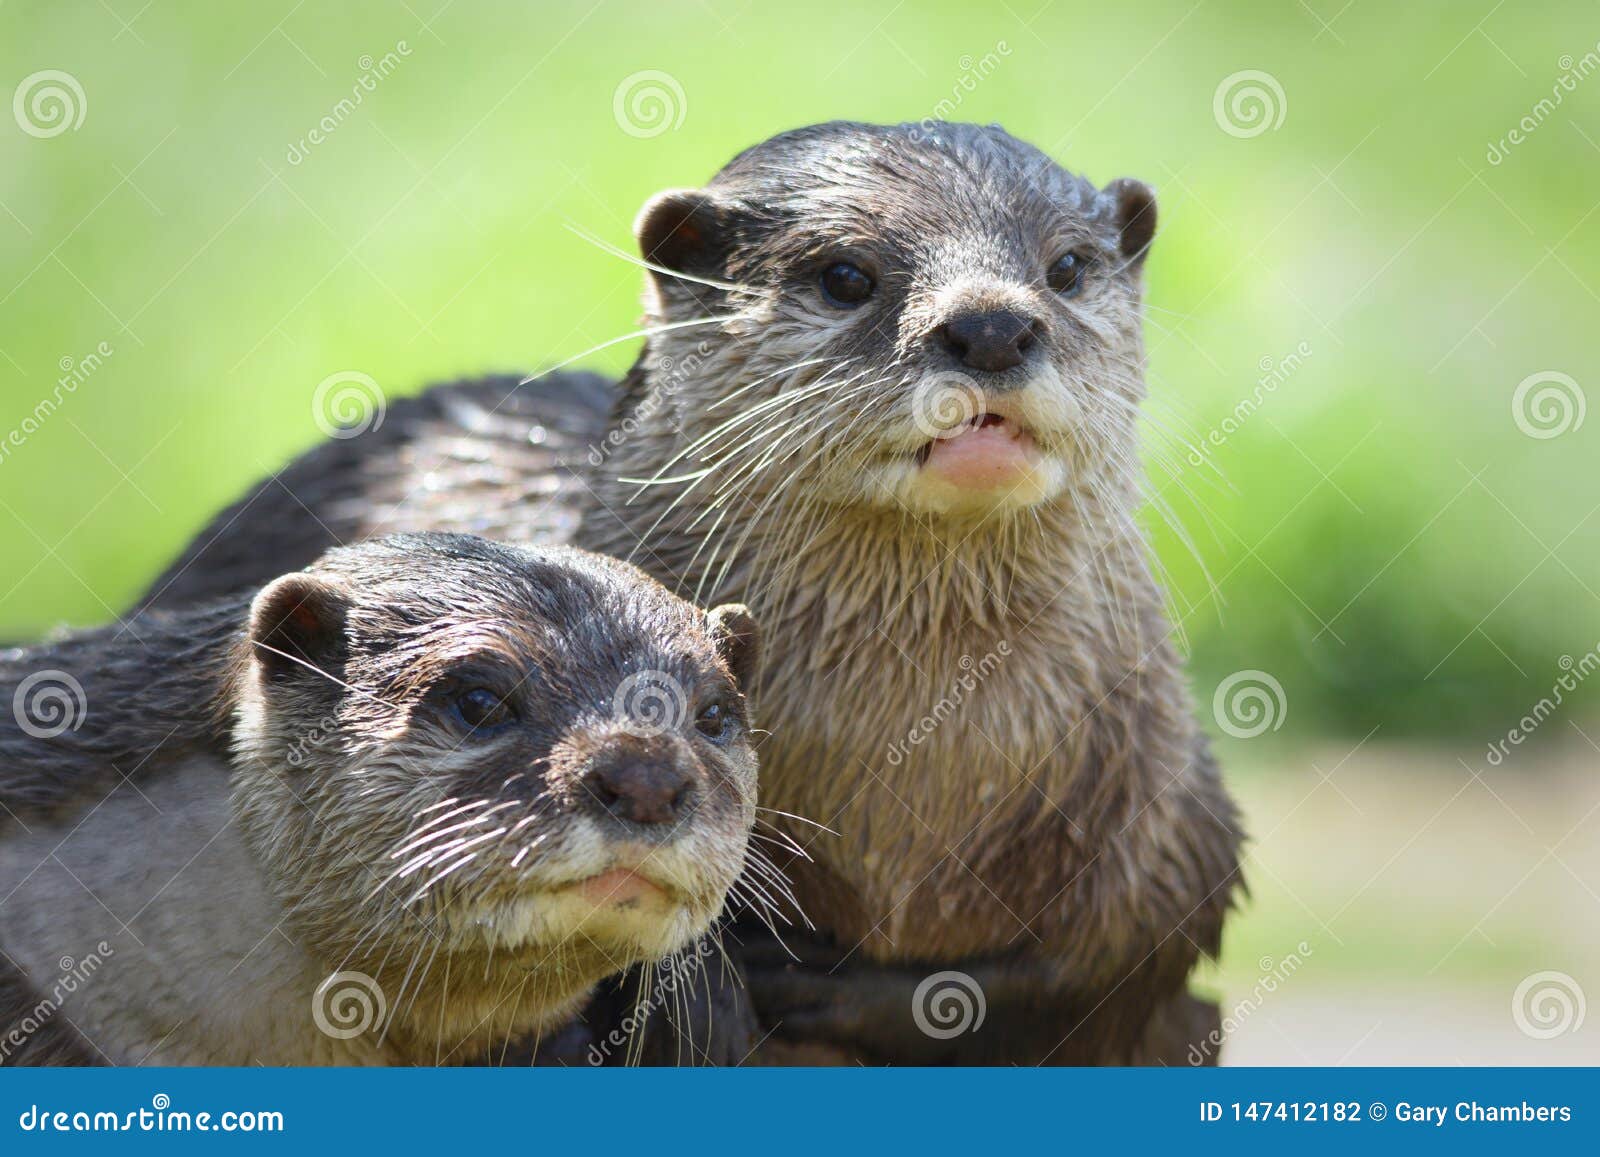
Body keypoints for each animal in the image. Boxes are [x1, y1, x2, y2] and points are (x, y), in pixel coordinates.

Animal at [138, 121, 1242, 1064]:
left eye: (1067, 269)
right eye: (846, 275)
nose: (992, 325)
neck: (914, 804)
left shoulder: (1167, 837)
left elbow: (1108, 967)